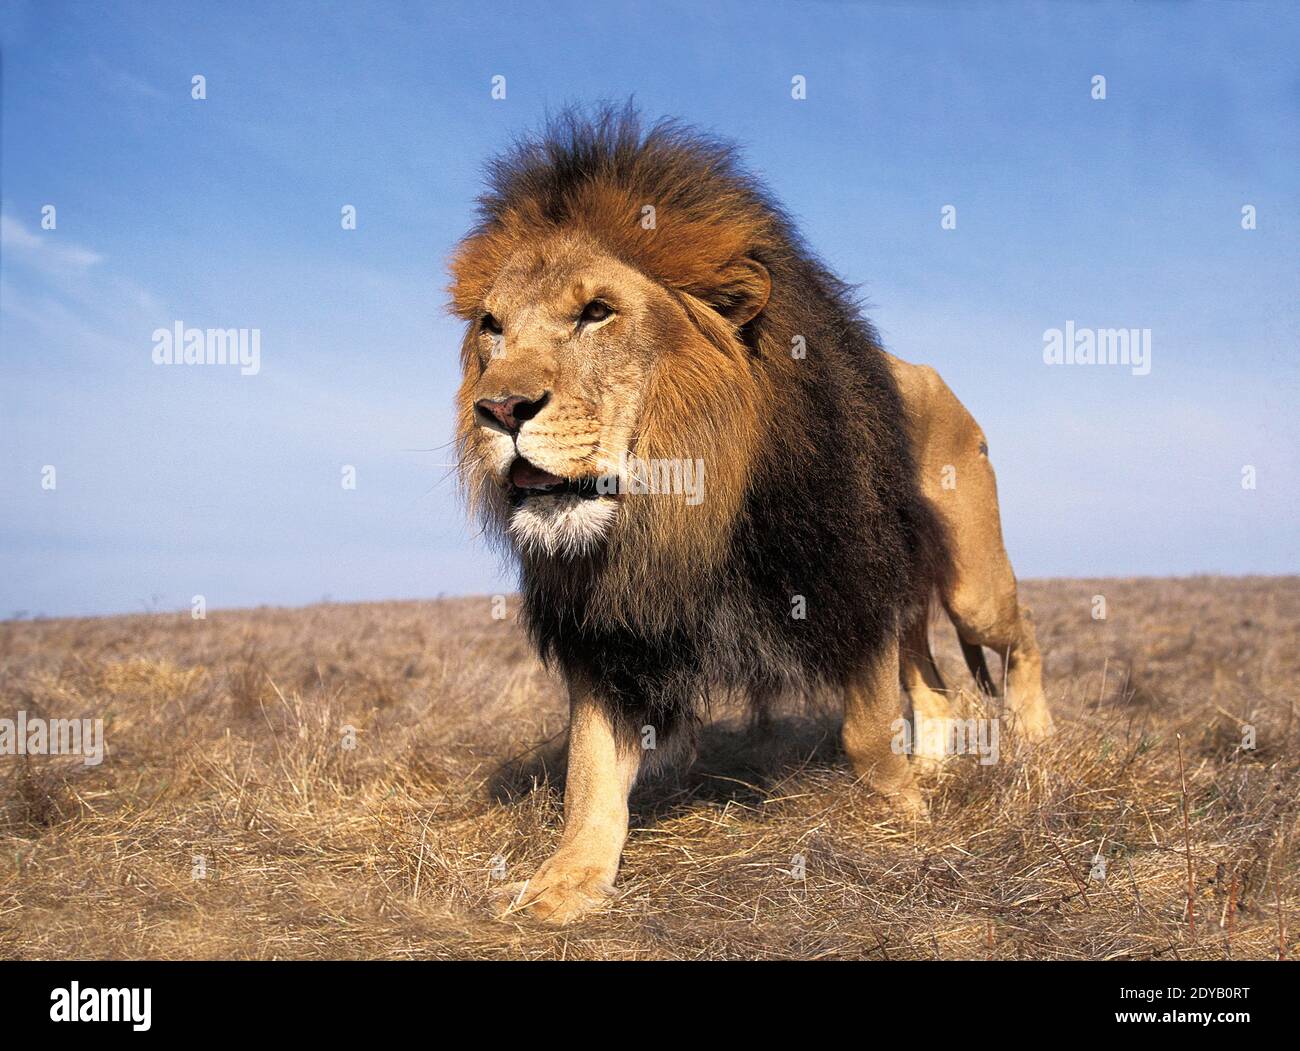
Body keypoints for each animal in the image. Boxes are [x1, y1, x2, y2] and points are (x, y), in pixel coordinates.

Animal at [449, 106, 1053, 924]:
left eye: (597, 313)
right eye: (493, 327)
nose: (500, 409)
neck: (684, 509)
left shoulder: (848, 581)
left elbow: (866, 732)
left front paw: (900, 812)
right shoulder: (611, 633)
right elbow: (590, 773)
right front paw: (567, 879)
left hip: (971, 584)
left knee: (1022, 638)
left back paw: (1038, 746)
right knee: (935, 685)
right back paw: (934, 766)